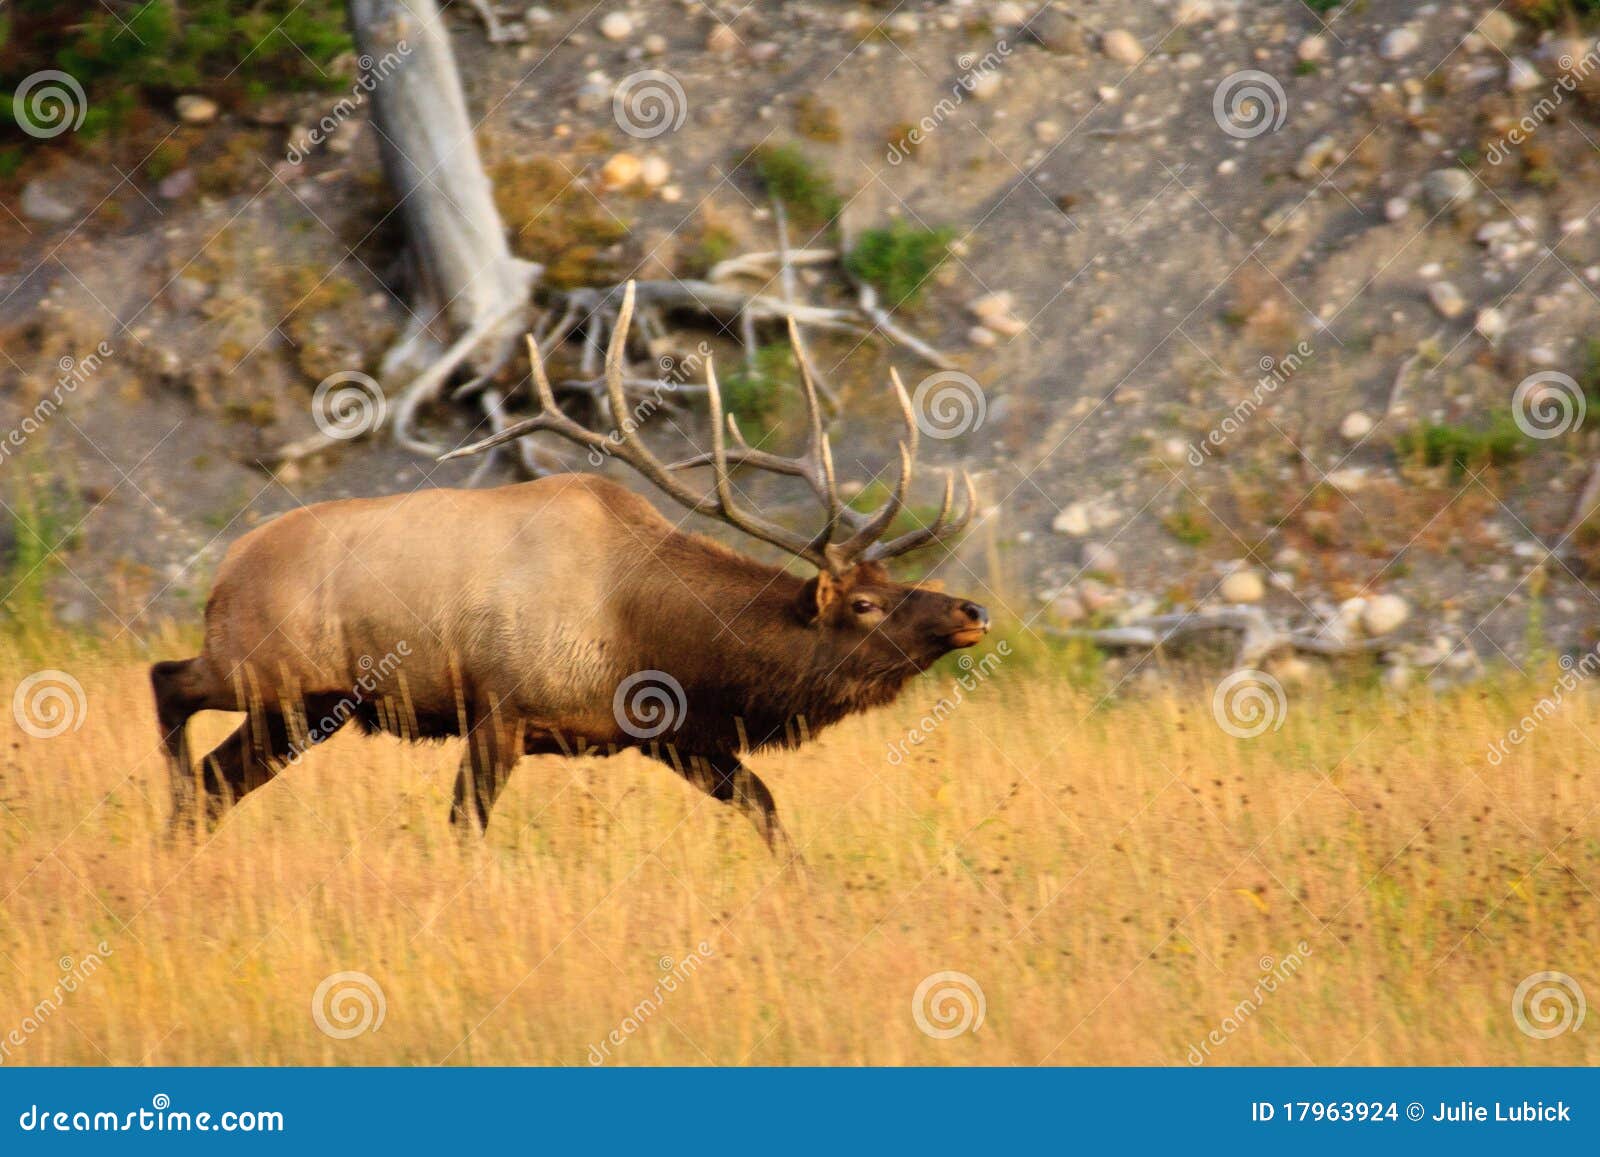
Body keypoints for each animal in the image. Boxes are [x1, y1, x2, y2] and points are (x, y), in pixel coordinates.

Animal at [150, 282, 988, 863]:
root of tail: (226, 569)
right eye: (866, 602)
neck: (643, 636)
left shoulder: (669, 732)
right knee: (168, 684)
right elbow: (464, 827)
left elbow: (765, 803)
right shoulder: (500, 707)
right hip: (263, 668)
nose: (972, 611)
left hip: (302, 707)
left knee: (220, 781)